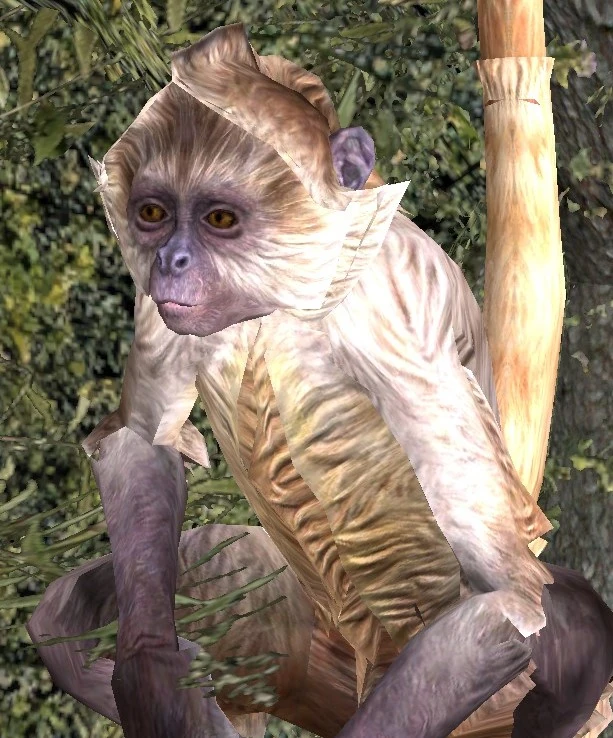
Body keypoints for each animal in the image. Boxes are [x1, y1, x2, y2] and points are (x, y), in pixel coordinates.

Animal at [27, 23, 613, 738]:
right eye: (154, 213)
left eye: (220, 219)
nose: (171, 261)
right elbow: (144, 438)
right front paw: (152, 671)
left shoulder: (391, 311)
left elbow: (509, 597)